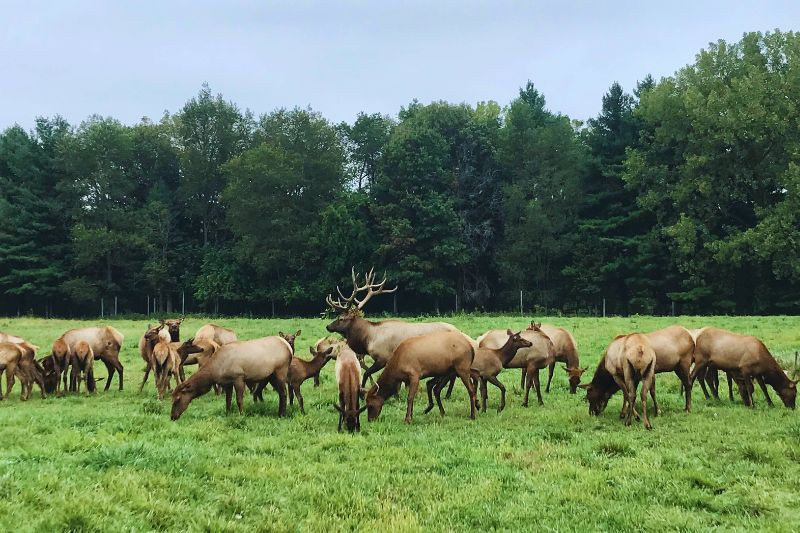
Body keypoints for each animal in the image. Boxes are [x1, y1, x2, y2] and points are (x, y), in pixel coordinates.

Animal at [325, 267, 460, 387]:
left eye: (341, 318)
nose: (327, 326)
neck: (368, 339)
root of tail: (459, 331)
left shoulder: (383, 357)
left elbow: (367, 373)